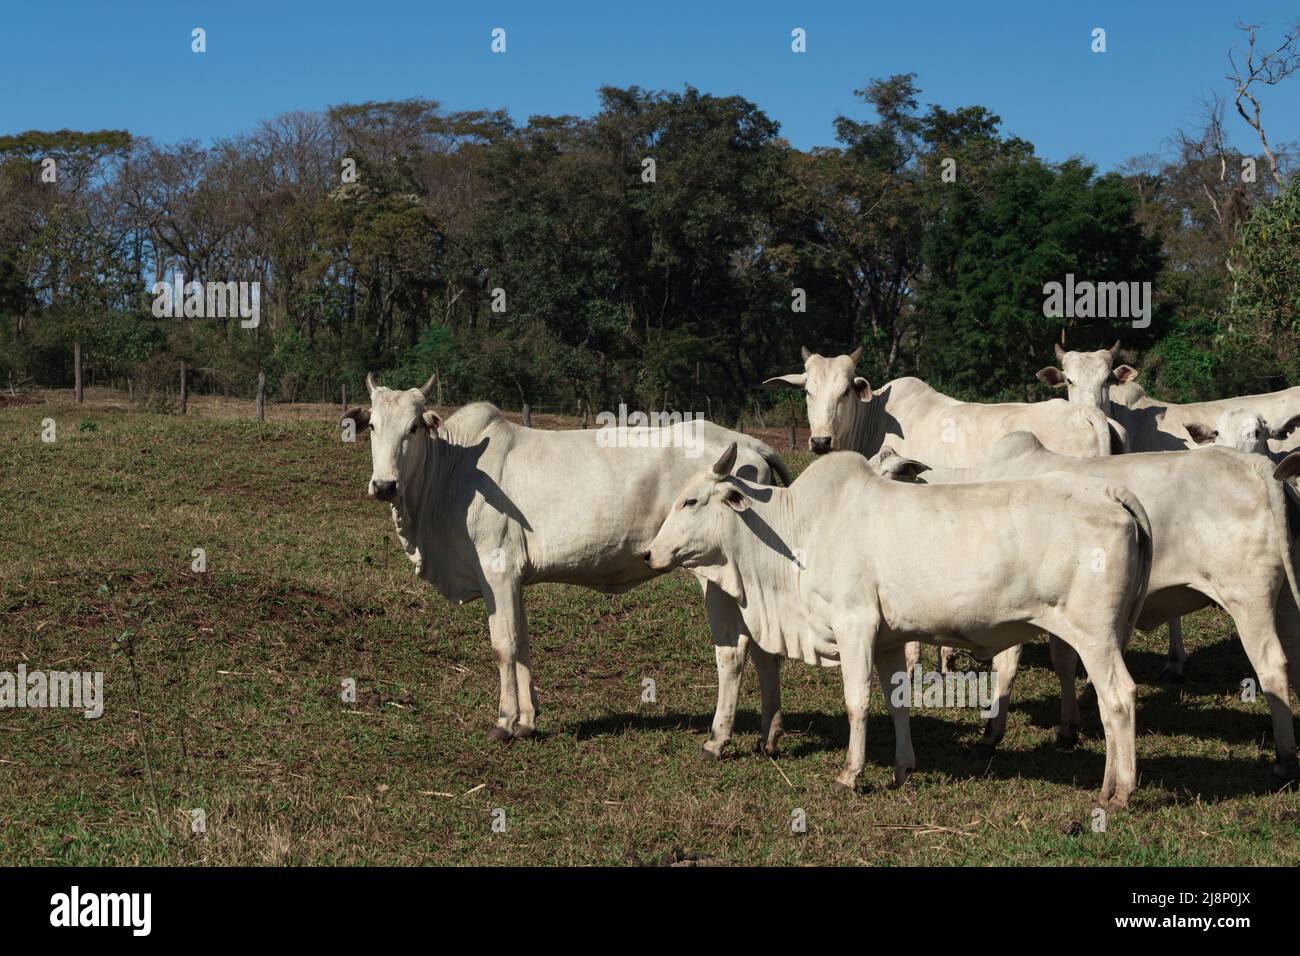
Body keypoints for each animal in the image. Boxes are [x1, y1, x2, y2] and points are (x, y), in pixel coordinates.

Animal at [342, 373, 793, 750]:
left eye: (414, 427)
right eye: (373, 427)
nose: (384, 485)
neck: (451, 475)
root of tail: (748, 442)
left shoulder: (496, 570)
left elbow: (503, 646)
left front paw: (504, 722)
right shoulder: (514, 579)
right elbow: (522, 643)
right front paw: (526, 722)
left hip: (713, 572)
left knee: (733, 651)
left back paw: (718, 739)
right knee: (765, 647)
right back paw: (769, 735)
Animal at [644, 443, 1151, 806]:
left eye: (691, 501)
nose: (649, 553)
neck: (796, 533)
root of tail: (1109, 492)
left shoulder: (854, 625)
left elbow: (857, 704)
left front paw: (851, 774)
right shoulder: (887, 639)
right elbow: (896, 703)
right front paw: (903, 769)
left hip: (1095, 635)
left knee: (1118, 698)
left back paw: (1121, 792)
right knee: (1105, 703)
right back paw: (1108, 784)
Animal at [875, 433, 1300, 784]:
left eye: (887, 474)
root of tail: (1258, 467)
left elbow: (1006, 667)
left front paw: (991, 733)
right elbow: (1064, 662)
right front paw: (1068, 727)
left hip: (1248, 600)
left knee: (1271, 667)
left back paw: (1283, 759)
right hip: (1285, 601)